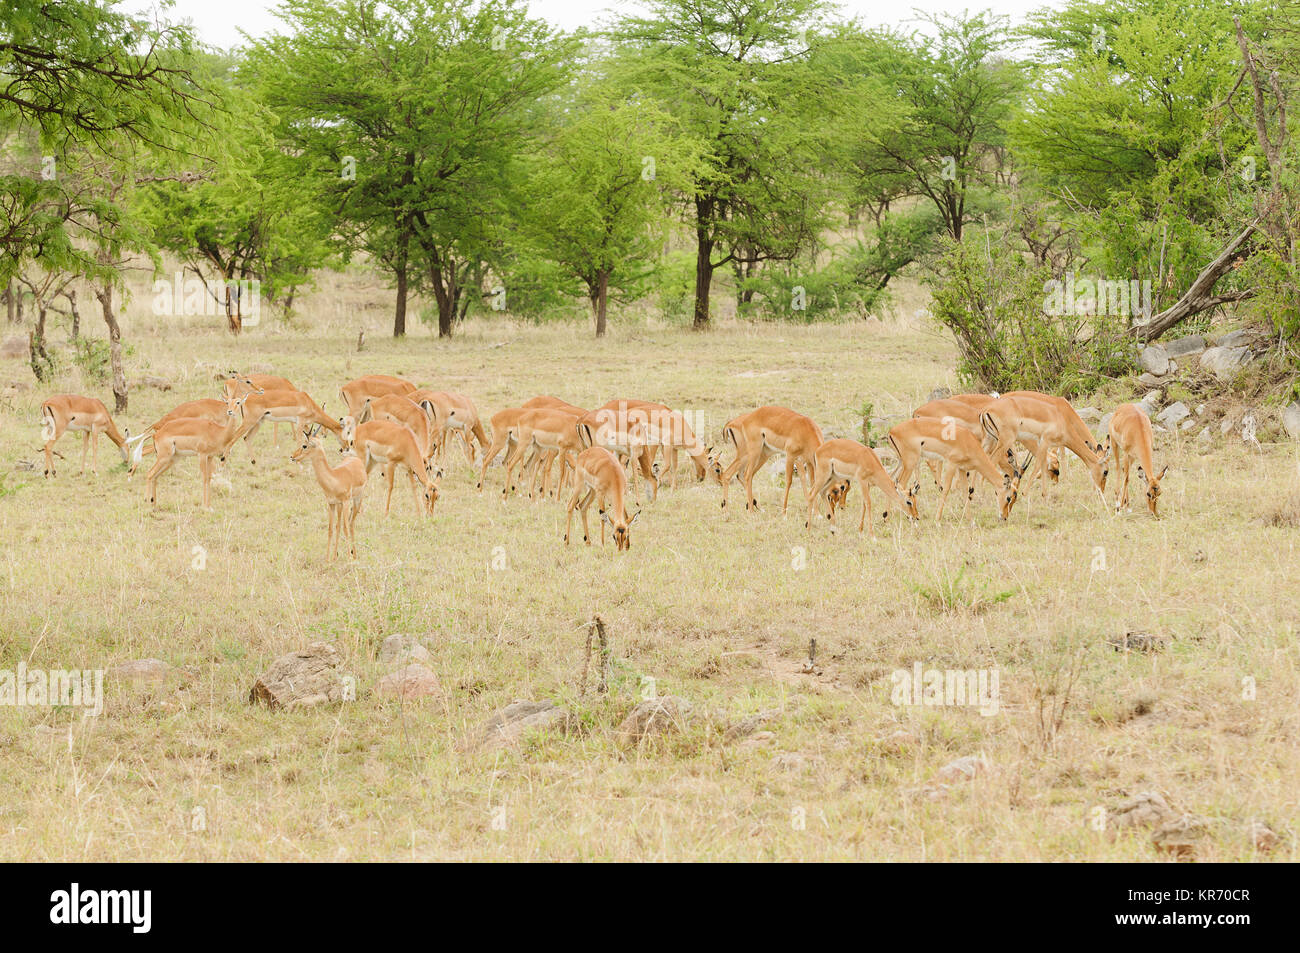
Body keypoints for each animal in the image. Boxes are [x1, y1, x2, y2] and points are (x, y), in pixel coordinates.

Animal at [291, 428, 368, 559]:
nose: (292, 456)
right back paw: (335, 556)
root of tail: (356, 459)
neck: (334, 478)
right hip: (339, 506)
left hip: (357, 500)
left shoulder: (346, 502)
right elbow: (331, 529)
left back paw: (354, 555)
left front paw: (348, 558)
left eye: (304, 445)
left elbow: (345, 528)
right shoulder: (331, 504)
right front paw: (328, 559)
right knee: (339, 526)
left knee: (351, 524)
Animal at [888, 418, 1024, 521]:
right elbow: (946, 489)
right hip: (910, 463)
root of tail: (891, 431)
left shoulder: (961, 469)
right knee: (900, 484)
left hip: (902, 463)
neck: (968, 442)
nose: (1004, 517)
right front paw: (937, 520)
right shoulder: (951, 464)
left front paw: (970, 520)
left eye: (1015, 499)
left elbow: (965, 491)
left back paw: (888, 515)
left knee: (892, 480)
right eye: (1009, 497)